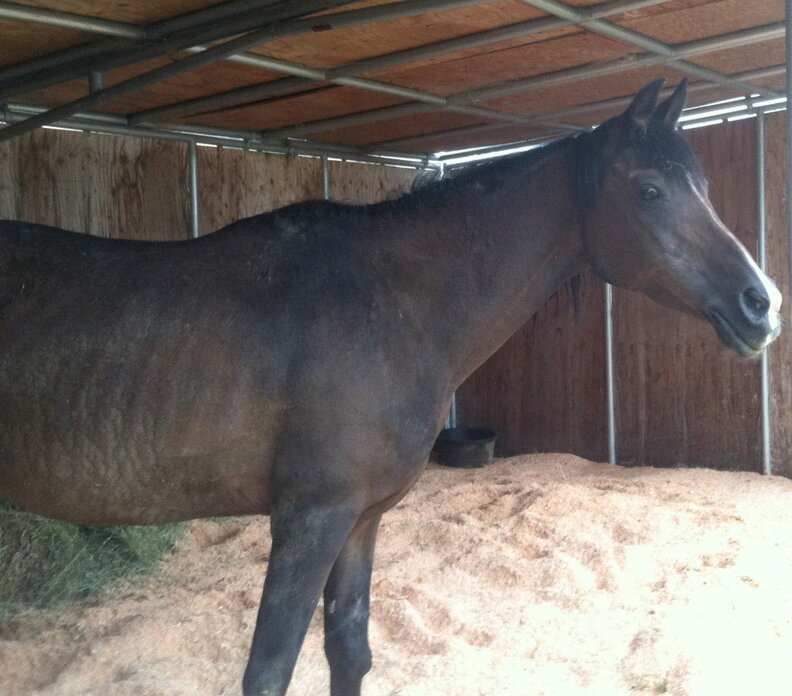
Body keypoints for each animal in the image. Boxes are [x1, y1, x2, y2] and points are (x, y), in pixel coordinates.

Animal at [0, 79, 781, 695]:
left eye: (703, 188)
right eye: (649, 190)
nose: (762, 305)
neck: (386, 306)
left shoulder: (361, 518)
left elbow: (350, 651)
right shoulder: (309, 520)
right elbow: (269, 672)